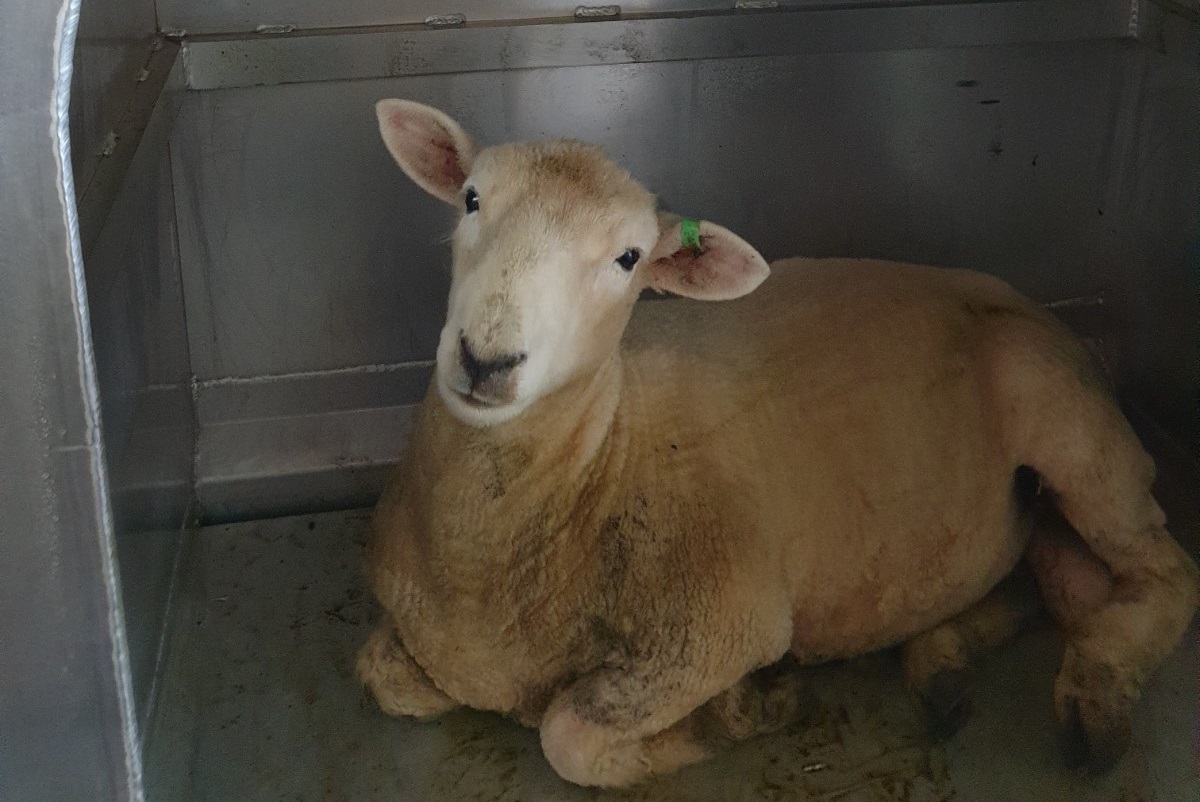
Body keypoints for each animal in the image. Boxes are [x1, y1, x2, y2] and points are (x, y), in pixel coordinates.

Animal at [356, 98, 1199, 788]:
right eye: (471, 199)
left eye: (628, 259)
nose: (486, 360)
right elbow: (379, 674)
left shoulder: (725, 627)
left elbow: (568, 737)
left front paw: (745, 714)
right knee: (1048, 581)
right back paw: (943, 671)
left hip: (1069, 423)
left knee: (1165, 574)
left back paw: (1093, 700)